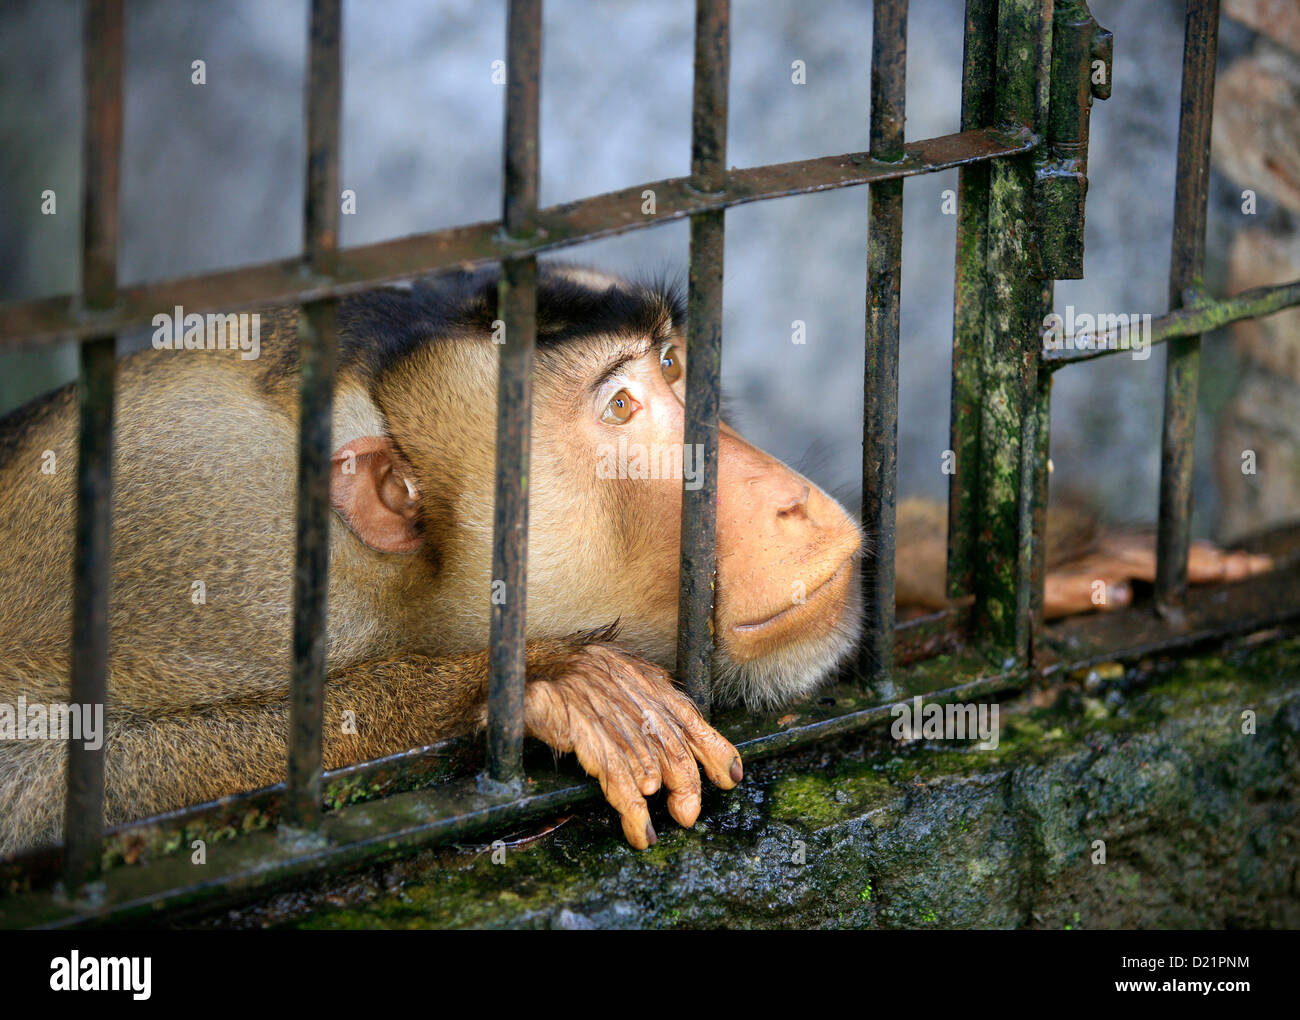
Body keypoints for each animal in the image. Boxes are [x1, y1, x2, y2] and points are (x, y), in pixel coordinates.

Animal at [0, 264, 1273, 858]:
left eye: (671, 364)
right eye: (619, 408)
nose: (792, 501)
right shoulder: (199, 522)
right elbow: (38, 771)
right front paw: (549, 678)